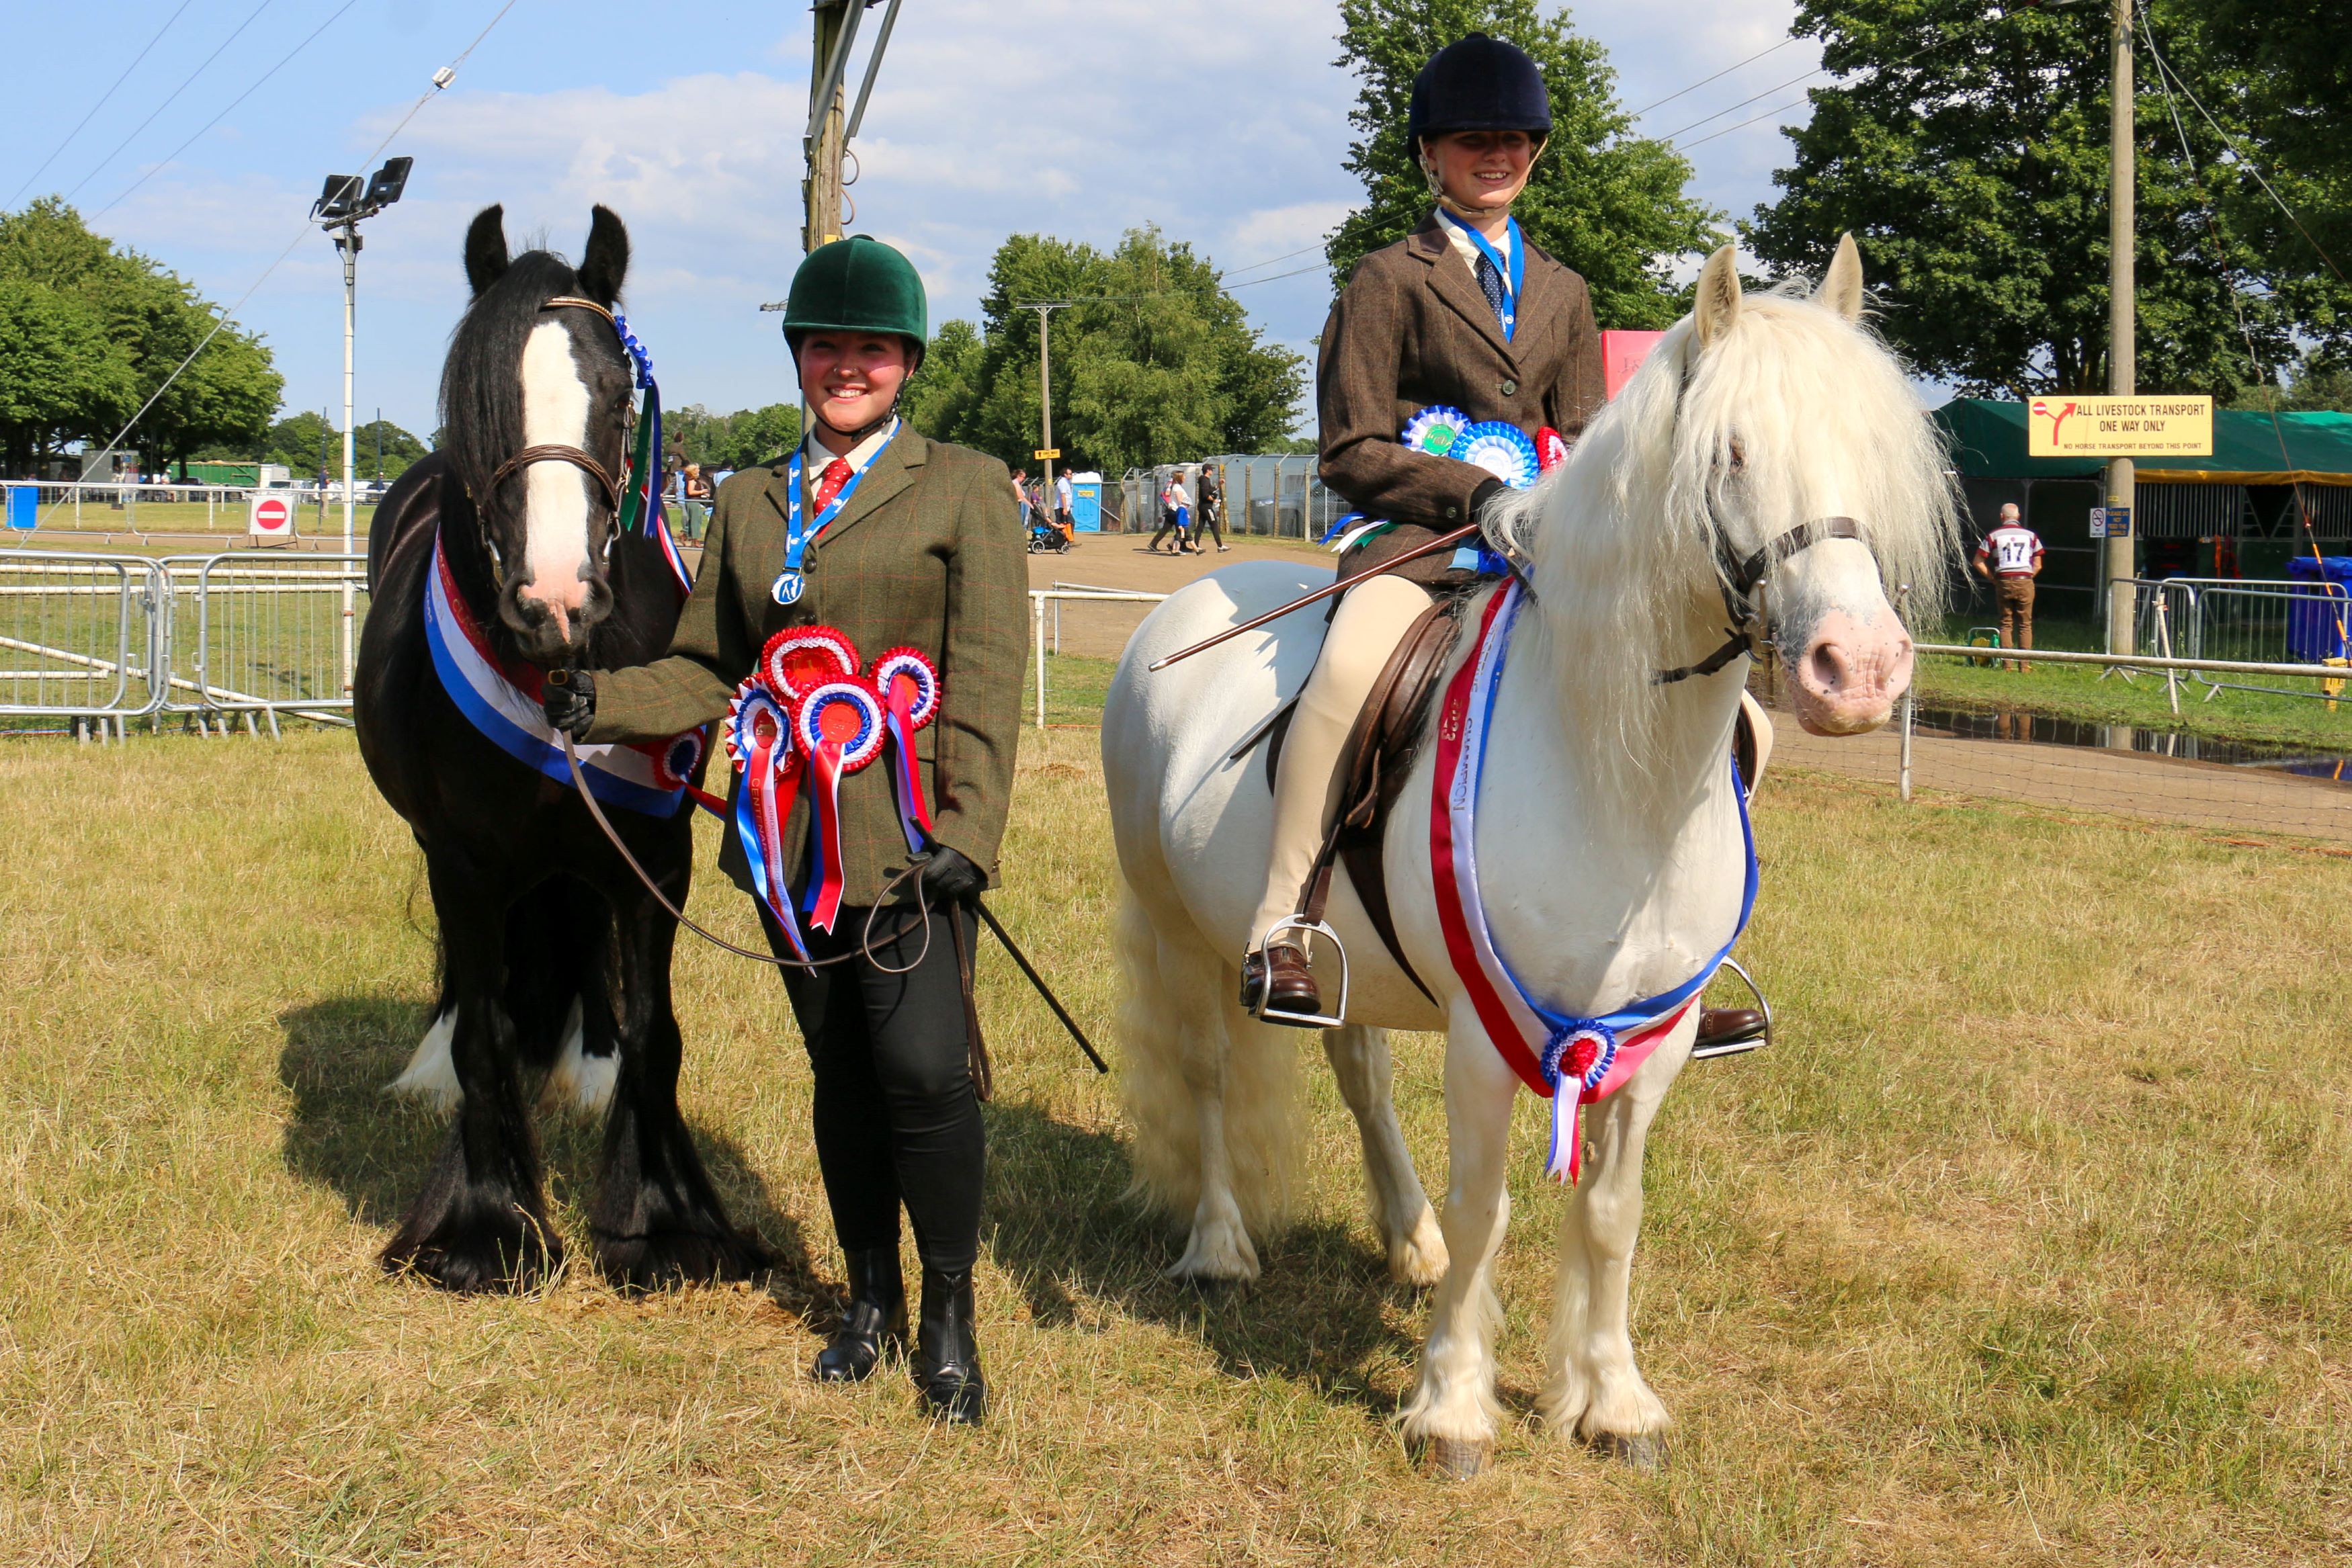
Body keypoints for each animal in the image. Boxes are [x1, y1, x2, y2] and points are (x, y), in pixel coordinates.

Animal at [356, 203, 762, 1293]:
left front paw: (663, 1223)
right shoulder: (462, 859)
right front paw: (484, 1226)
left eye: (619, 398)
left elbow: (659, 1029)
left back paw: (588, 1062)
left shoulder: (654, 849)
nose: (554, 601)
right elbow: (488, 1035)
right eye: (476, 401)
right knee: (472, 993)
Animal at [1102, 238, 1957, 1474]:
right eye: (1732, 453)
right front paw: (1453, 1405)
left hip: (1348, 954)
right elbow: (1487, 1208)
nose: (1860, 670)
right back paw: (1220, 1246)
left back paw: (1401, 1234)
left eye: (1874, 451)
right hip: (1184, 934)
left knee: (1358, 1071)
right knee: (1209, 1075)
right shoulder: (1482, 1030)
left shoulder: (1648, 1035)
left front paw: (1615, 1398)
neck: (1618, 781)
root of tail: (1181, 611)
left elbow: (1610, 1213)